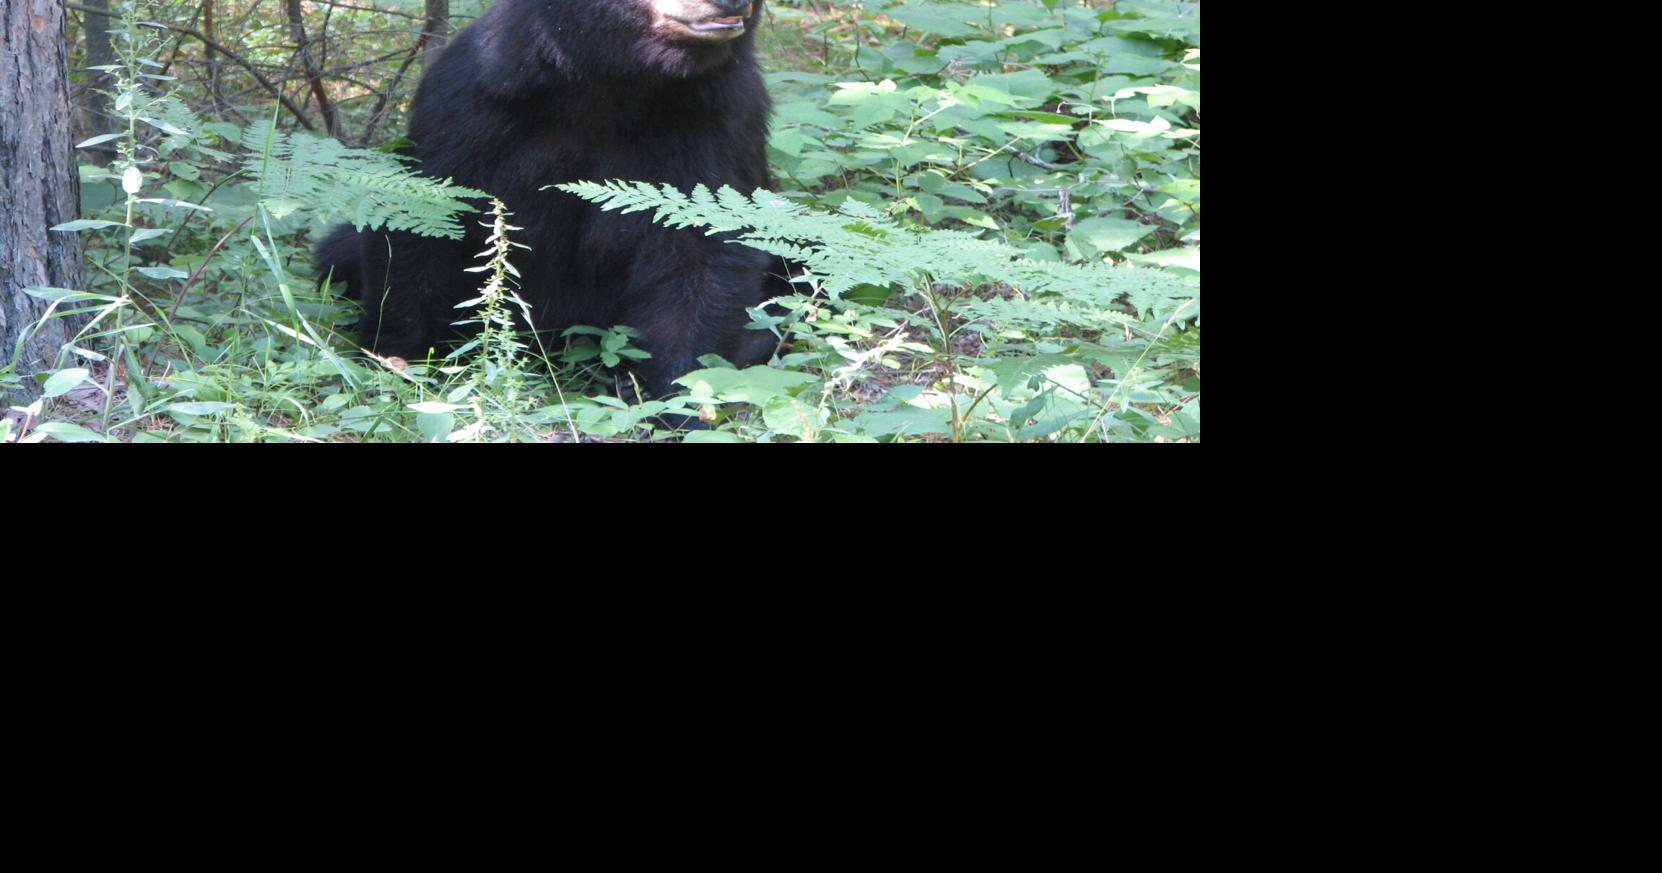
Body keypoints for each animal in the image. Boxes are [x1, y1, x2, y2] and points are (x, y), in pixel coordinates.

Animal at [314, 0, 783, 399]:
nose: (731, 3)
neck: (613, 80)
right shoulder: (472, 96)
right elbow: (430, 214)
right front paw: (398, 358)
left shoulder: (717, 114)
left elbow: (702, 247)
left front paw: (676, 395)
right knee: (337, 250)